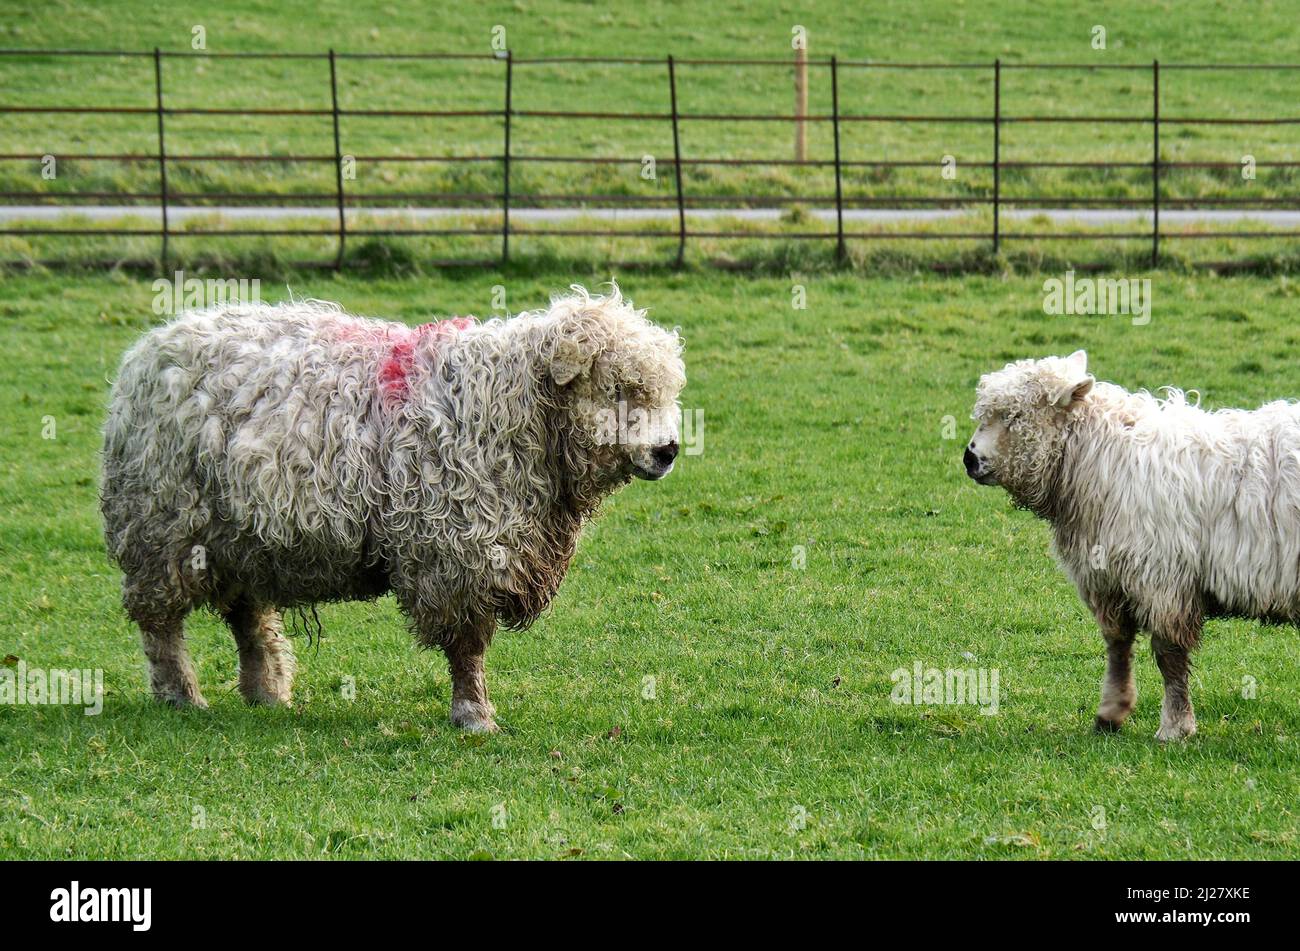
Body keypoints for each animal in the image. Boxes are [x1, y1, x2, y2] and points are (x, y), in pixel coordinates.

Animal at [101, 285, 686, 733]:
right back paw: (180, 695)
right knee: (160, 624)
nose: (668, 451)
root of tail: (147, 349)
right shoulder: (456, 552)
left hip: (242, 537)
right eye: (617, 388)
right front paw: (474, 715)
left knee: (247, 614)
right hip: (162, 526)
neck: (509, 407)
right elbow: (467, 647)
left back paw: (265, 692)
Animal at [965, 350, 1300, 741]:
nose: (969, 459)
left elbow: (1169, 656)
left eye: (1013, 417)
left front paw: (1175, 727)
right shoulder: (1109, 578)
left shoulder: (1162, 578)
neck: (1104, 457)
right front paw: (1111, 712)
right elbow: (1118, 645)